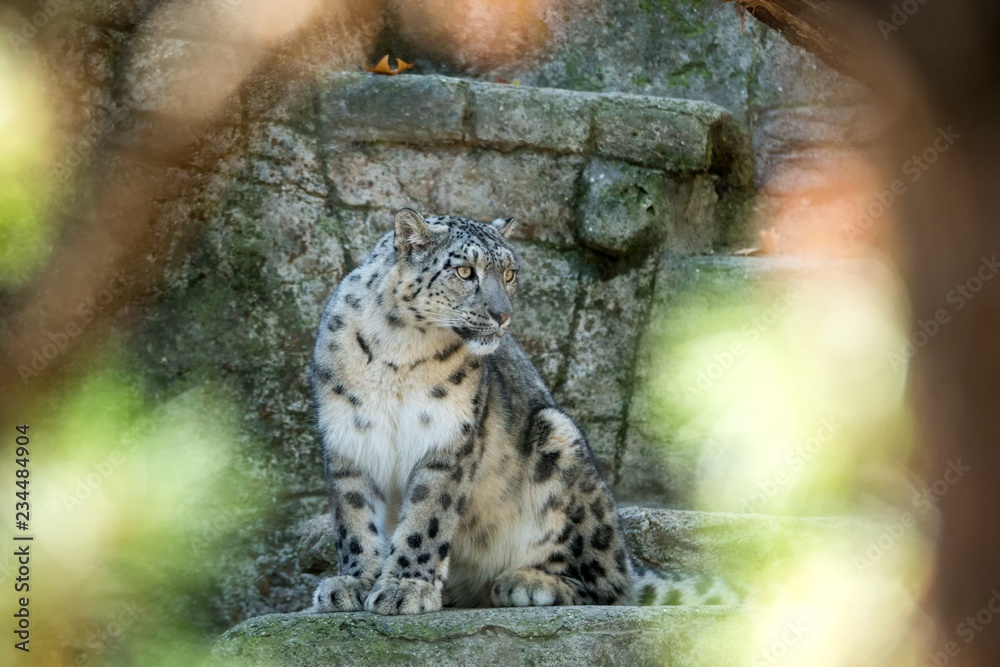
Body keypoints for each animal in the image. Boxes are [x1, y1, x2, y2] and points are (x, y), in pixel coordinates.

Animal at [307, 208, 738, 614]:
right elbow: (355, 519)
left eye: (509, 273)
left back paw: (528, 582)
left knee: (608, 587)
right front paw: (354, 583)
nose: (503, 314)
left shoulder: (448, 439)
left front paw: (405, 588)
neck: (399, 351)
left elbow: (425, 516)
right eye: (465, 271)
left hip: (558, 441)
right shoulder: (347, 437)